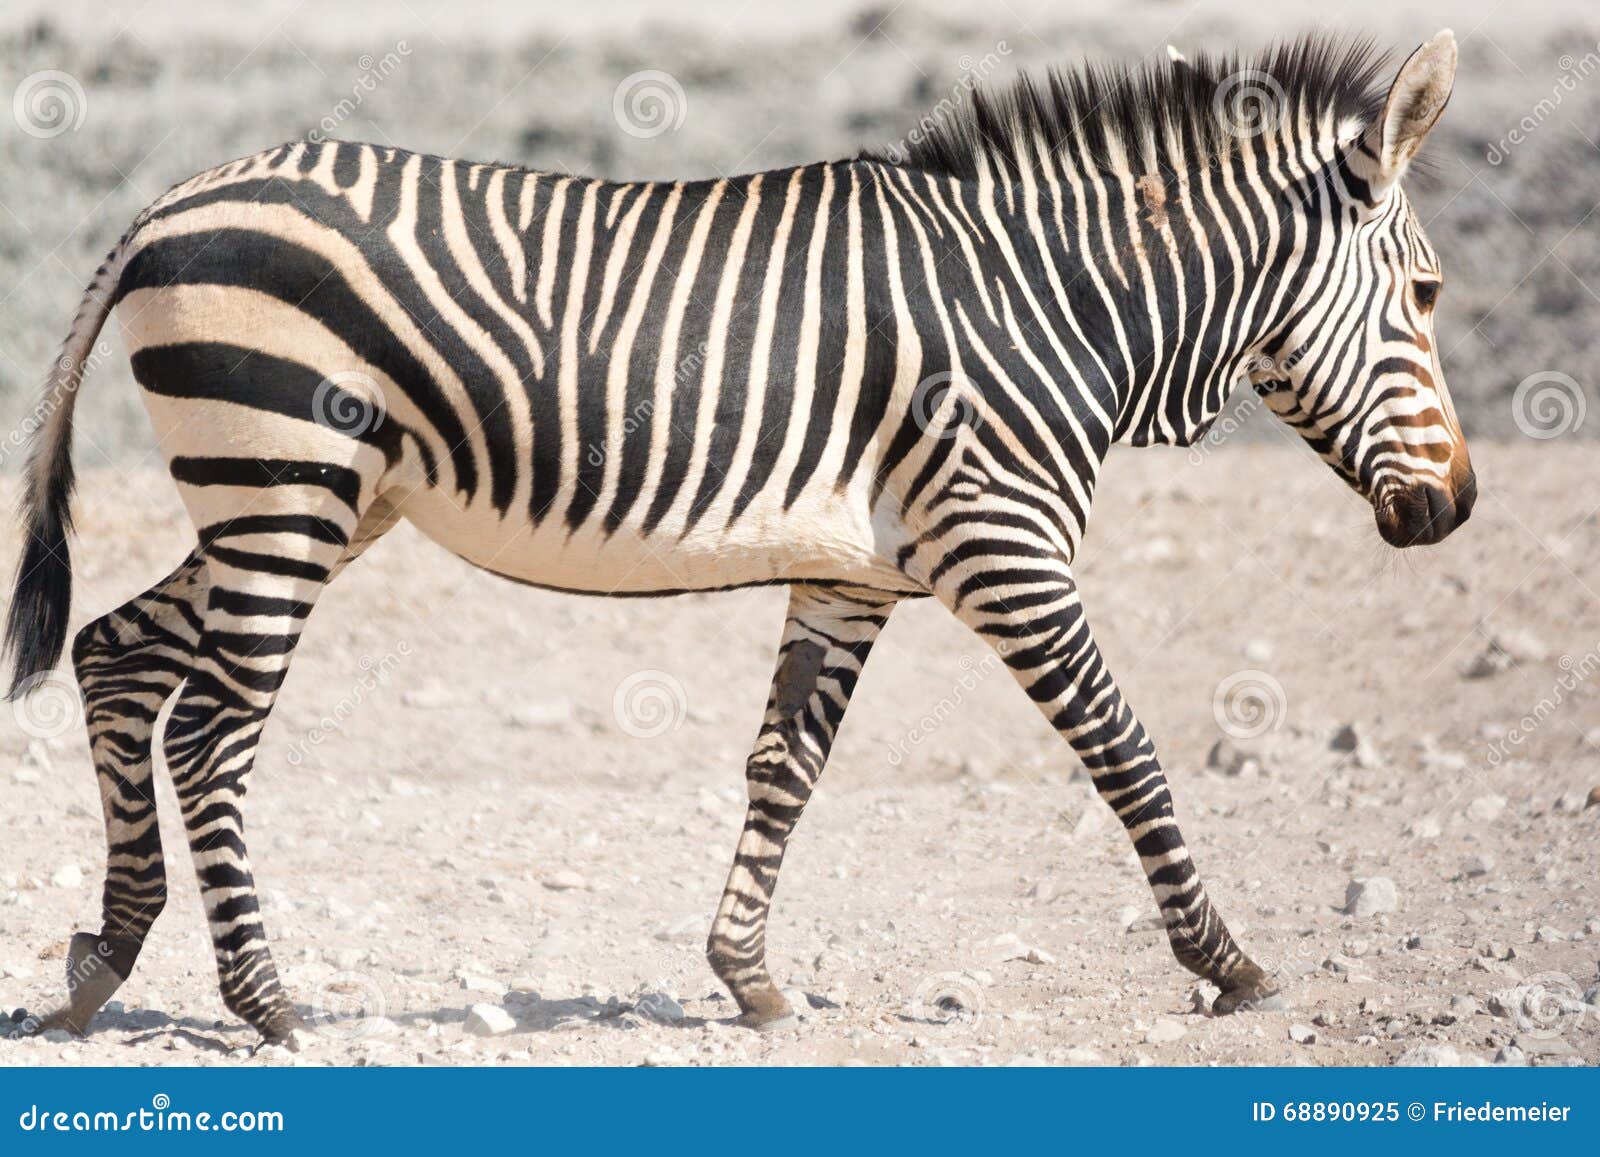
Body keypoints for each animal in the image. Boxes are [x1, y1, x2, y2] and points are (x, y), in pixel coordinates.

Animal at [3, 30, 1474, 1046]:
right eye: (1426, 292)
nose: (1454, 510)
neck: (1050, 299)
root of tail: (174, 199)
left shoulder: (848, 574)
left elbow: (785, 764)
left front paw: (750, 977)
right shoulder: (1003, 547)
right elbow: (1125, 746)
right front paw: (1227, 964)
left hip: (307, 498)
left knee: (116, 651)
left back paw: (103, 958)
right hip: (283, 478)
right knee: (210, 730)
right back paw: (263, 998)